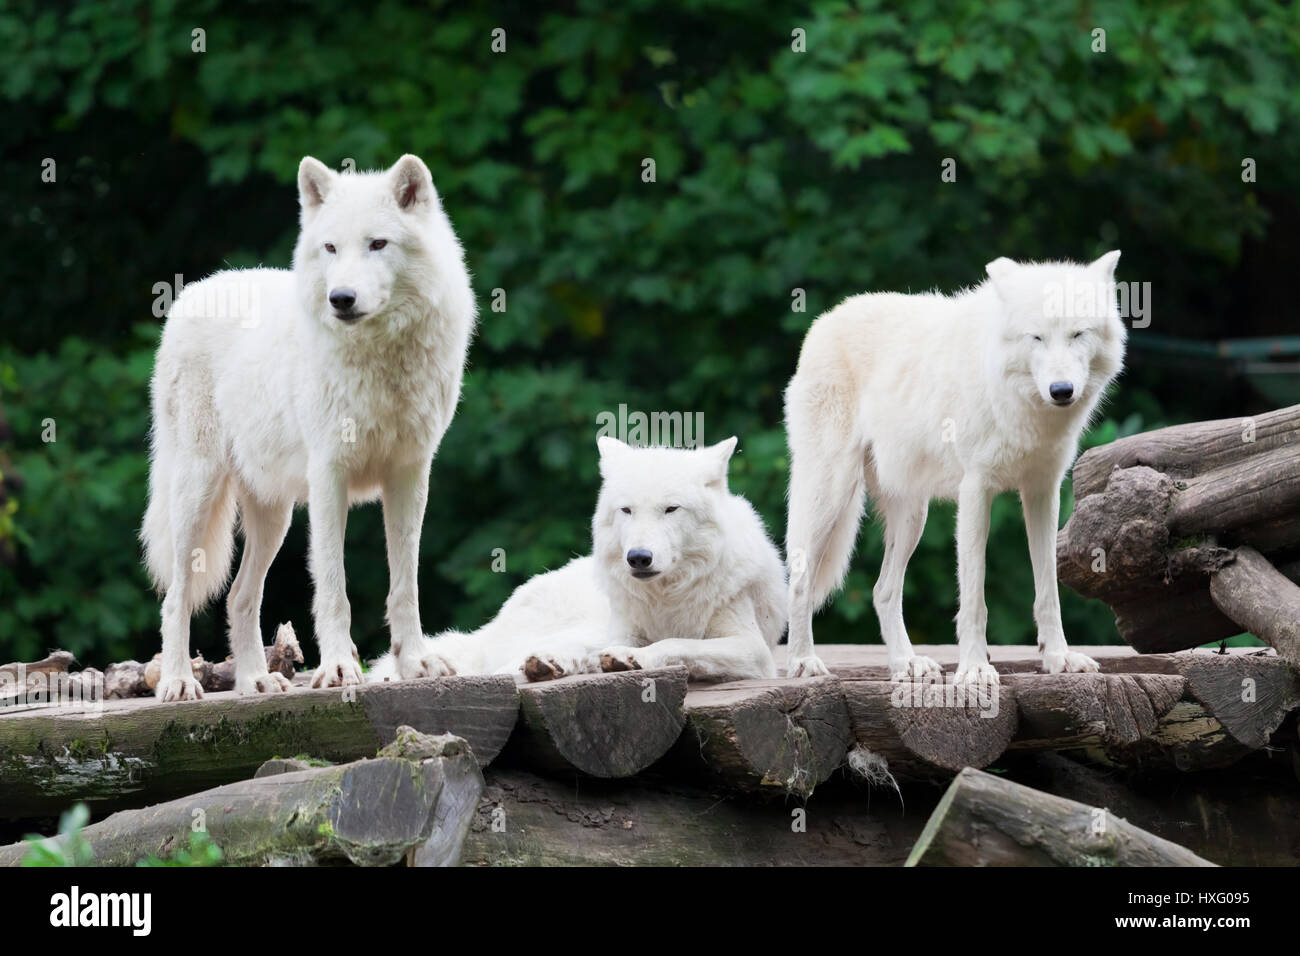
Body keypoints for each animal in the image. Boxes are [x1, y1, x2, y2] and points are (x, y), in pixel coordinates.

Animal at [142, 155, 476, 701]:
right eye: (331, 248)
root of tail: (195, 290)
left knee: (239, 596)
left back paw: (255, 681)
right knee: (177, 599)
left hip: (272, 515)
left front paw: (415, 663)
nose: (341, 298)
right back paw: (178, 683)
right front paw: (338, 669)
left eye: (377, 244)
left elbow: (405, 586)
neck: (380, 359)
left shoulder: (410, 475)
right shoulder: (329, 477)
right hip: (197, 493)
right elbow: (334, 588)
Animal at [368, 437, 786, 683]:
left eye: (671, 509)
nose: (639, 558)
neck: (667, 598)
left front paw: (631, 658)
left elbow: (677, 644)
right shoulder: (624, 629)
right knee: (507, 663)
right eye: (627, 510)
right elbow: (660, 643)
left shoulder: (752, 649)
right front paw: (620, 657)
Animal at [784, 252, 1125, 683]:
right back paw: (803, 662)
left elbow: (1048, 590)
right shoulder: (976, 490)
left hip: (913, 515)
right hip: (831, 493)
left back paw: (907, 664)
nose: (1061, 391)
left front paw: (1058, 658)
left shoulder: (1043, 491)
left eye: (1078, 334)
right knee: (800, 581)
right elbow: (975, 598)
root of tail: (825, 319)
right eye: (1036, 338)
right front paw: (976, 668)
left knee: (883, 591)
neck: (1021, 406)